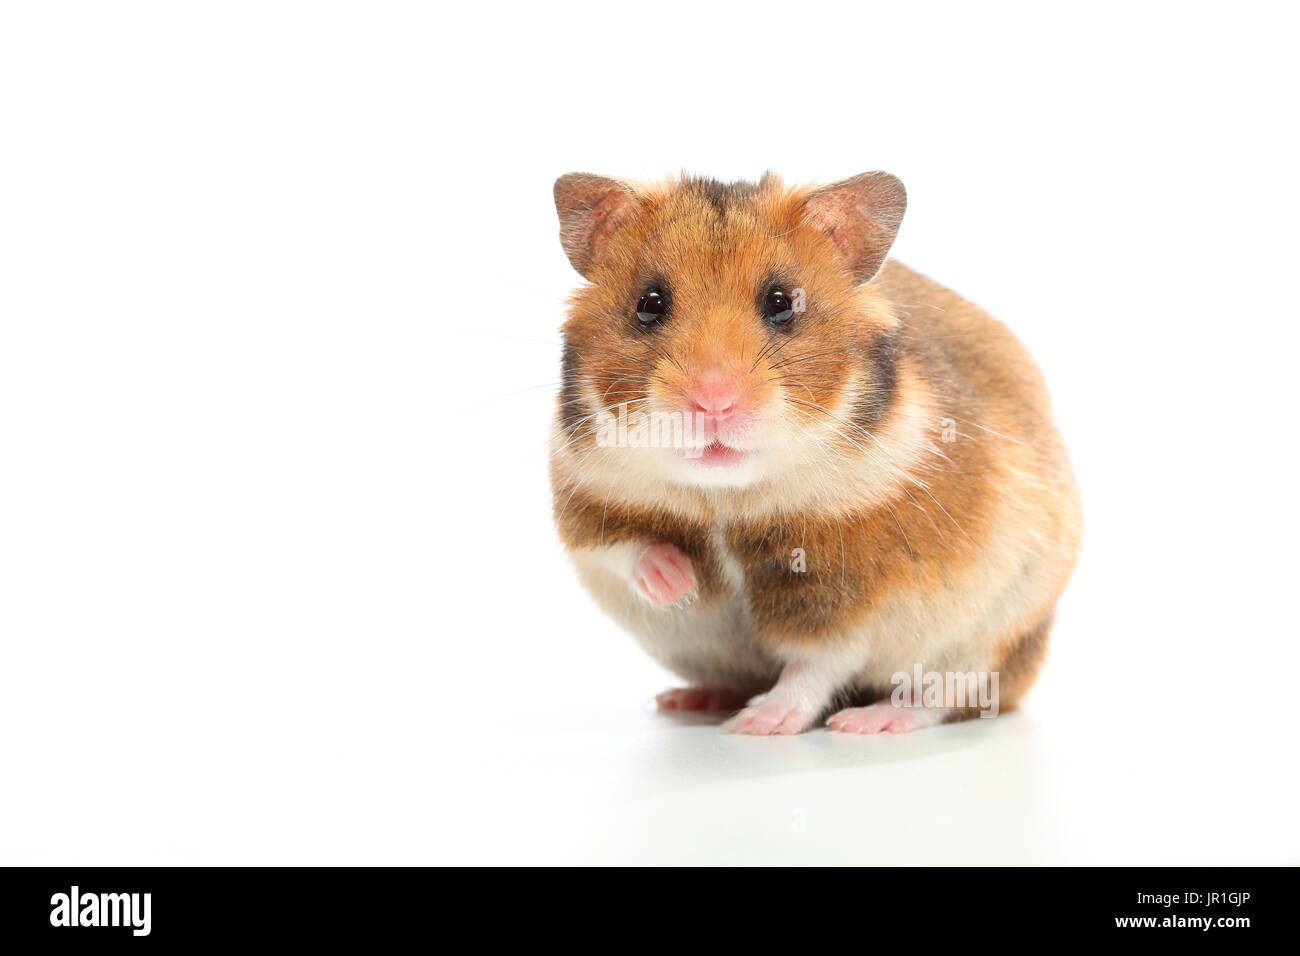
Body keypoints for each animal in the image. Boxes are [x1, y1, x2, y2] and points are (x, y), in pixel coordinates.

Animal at [549, 171, 1081, 735]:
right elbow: (626, 547)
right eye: (649, 303)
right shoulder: (583, 505)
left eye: (782, 302)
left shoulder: (847, 592)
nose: (713, 401)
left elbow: (816, 665)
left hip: (998, 631)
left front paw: (759, 725)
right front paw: (681, 583)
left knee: (949, 692)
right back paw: (689, 698)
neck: (727, 496)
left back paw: (872, 721)